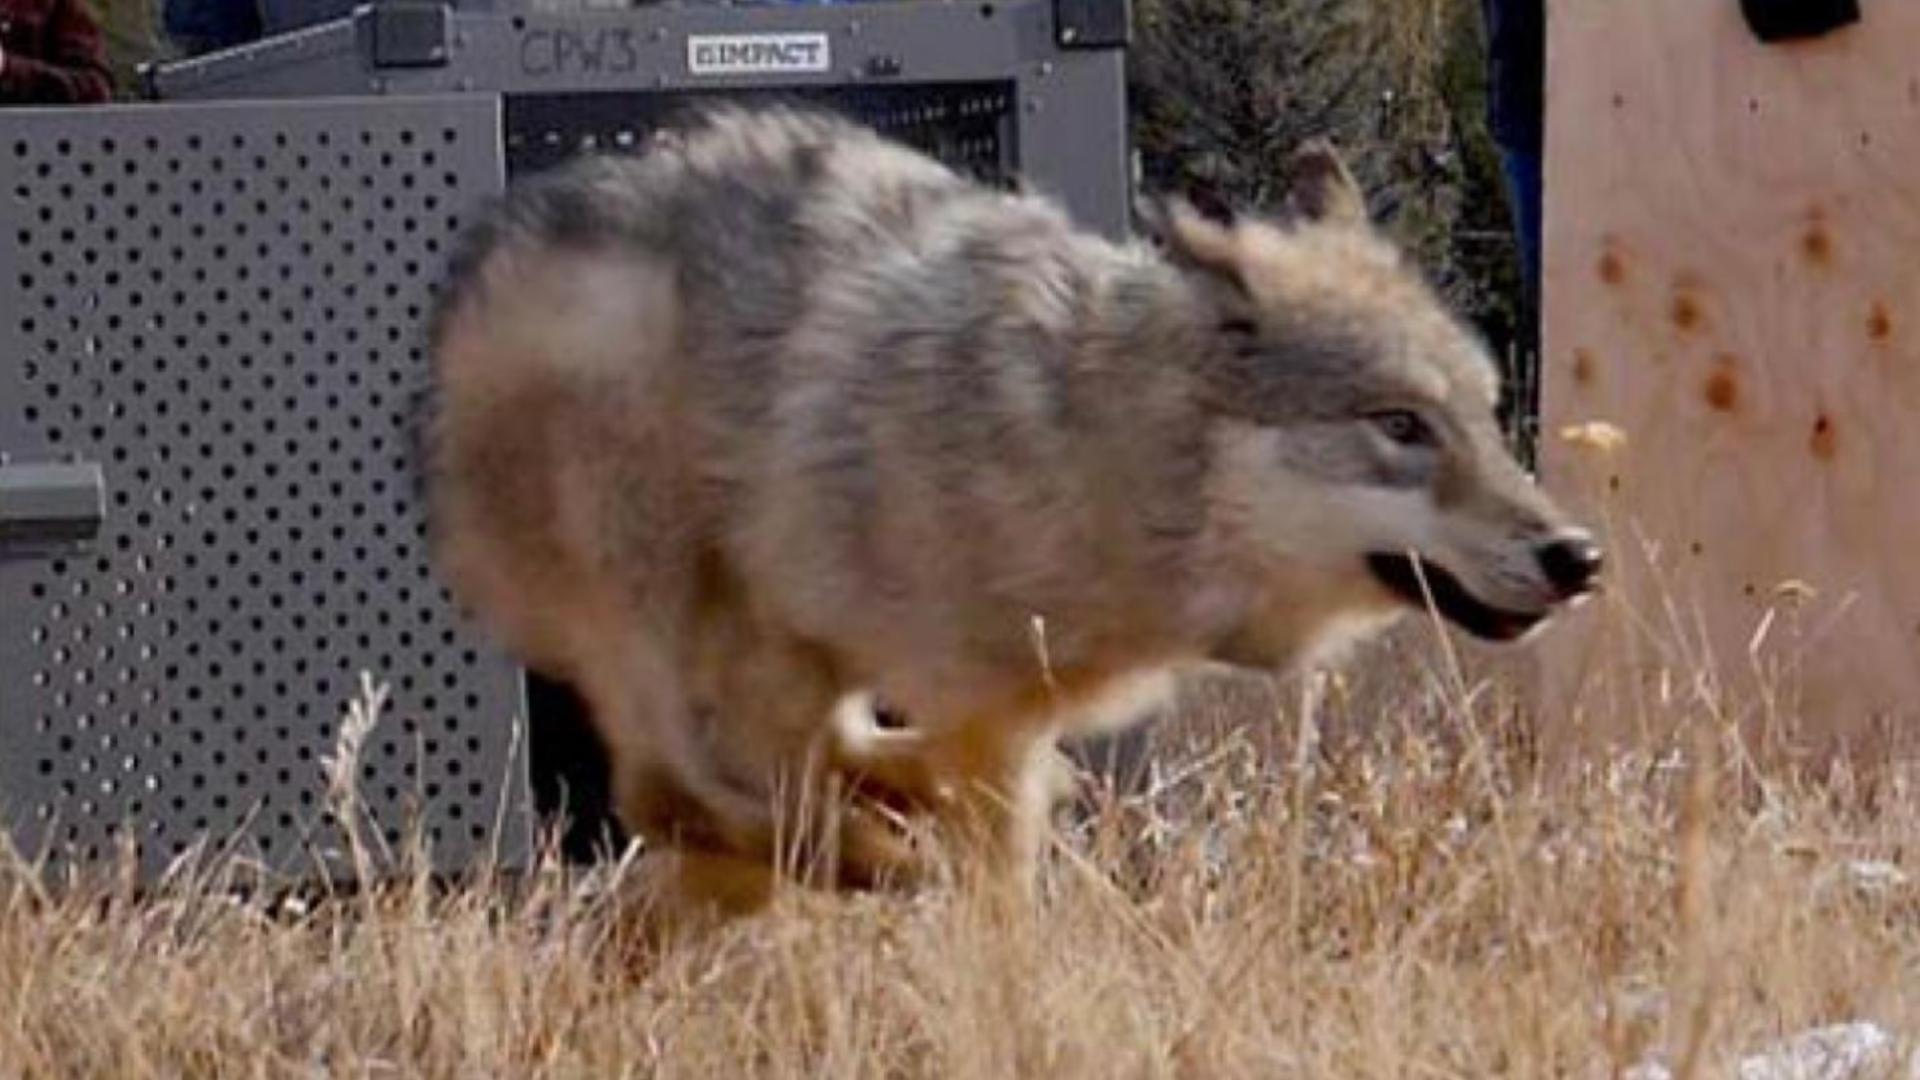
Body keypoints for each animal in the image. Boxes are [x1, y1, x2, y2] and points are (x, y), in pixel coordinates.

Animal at [421, 104, 1601, 919]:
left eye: (1486, 416)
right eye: (1400, 425)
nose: (1577, 555)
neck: (1097, 449)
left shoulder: (992, 711)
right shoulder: (975, 715)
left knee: (755, 787)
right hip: (656, 579)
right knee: (668, 790)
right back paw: (880, 855)